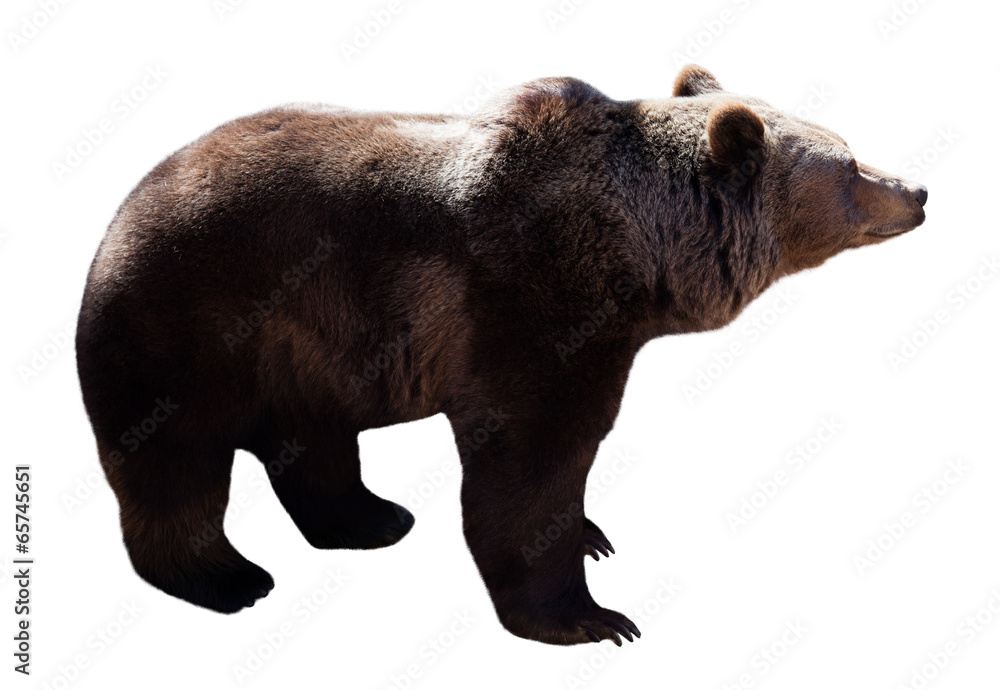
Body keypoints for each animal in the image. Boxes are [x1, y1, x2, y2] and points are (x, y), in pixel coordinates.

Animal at [76, 65, 927, 646]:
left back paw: (374, 518)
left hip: (307, 347)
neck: (639, 255)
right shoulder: (530, 301)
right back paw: (226, 578)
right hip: (193, 315)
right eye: (849, 165)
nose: (916, 189)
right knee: (174, 461)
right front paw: (591, 616)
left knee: (312, 442)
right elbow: (529, 460)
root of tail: (126, 205)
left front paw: (591, 535)